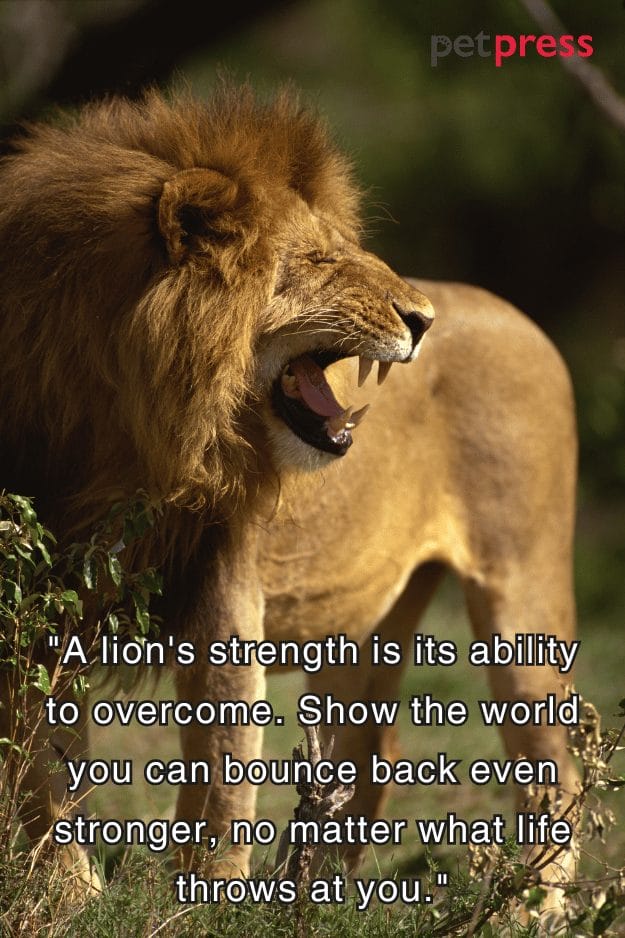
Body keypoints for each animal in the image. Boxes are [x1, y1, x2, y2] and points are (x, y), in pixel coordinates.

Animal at [0, 85, 578, 900]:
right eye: (318, 258)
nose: (423, 320)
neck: (125, 431)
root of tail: (525, 321)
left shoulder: (224, 590)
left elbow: (221, 778)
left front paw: (208, 900)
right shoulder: (40, 604)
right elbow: (46, 778)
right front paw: (73, 902)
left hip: (521, 594)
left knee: (555, 770)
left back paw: (535, 911)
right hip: (367, 628)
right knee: (367, 758)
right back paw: (325, 894)